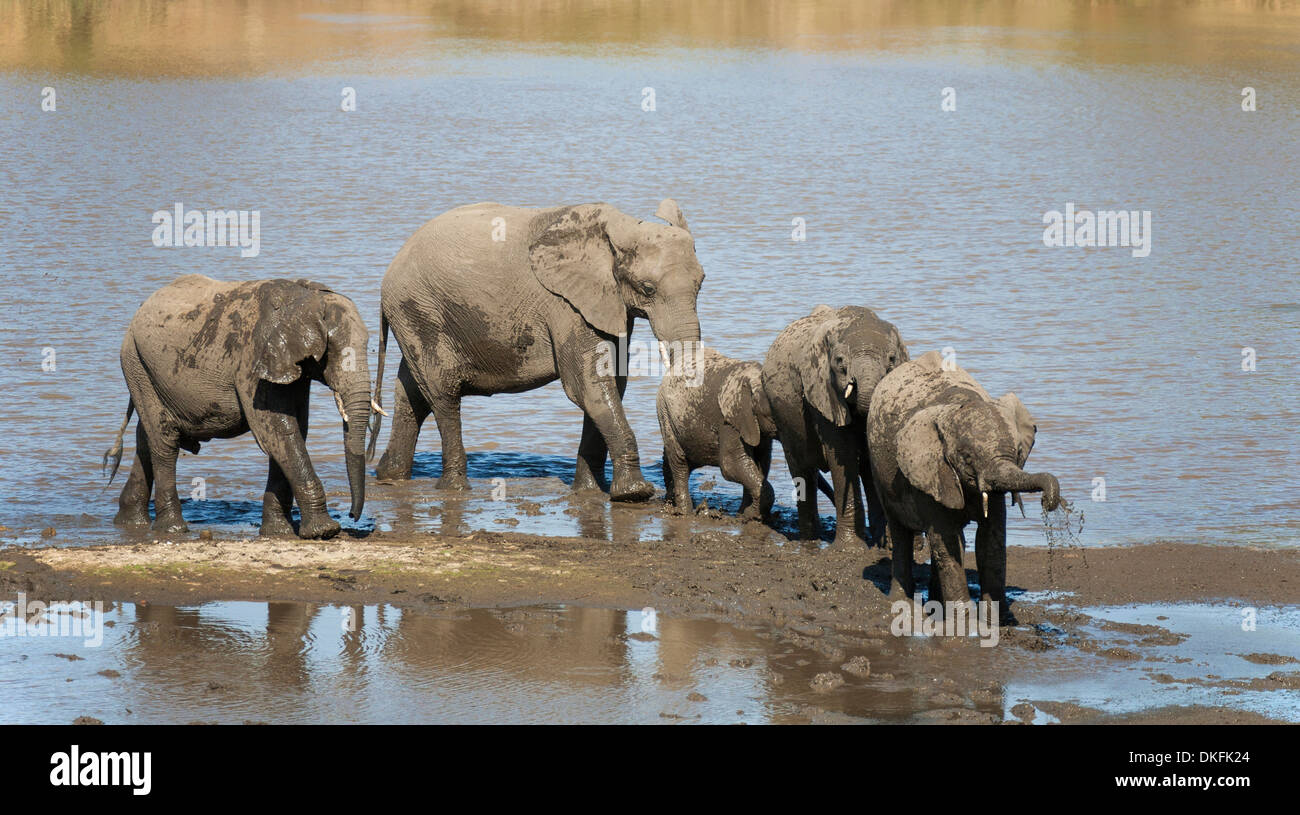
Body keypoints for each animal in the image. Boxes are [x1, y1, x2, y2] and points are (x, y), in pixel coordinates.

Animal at [103, 275, 374, 539]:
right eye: (338, 353)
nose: (352, 515)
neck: (307, 297)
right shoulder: (252, 361)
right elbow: (278, 431)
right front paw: (323, 531)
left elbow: (292, 430)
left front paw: (277, 532)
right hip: (136, 362)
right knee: (164, 441)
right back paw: (173, 528)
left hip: (144, 369)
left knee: (146, 436)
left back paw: (130, 523)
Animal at [369, 199, 704, 502]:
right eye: (648, 289)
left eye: (701, 284)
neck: (622, 226)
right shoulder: (564, 304)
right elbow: (588, 386)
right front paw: (634, 494)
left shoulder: (606, 301)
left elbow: (609, 384)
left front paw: (586, 492)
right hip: (419, 309)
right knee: (442, 392)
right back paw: (454, 488)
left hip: (416, 316)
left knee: (412, 393)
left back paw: (389, 476)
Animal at [657, 348, 778, 520]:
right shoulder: (728, 419)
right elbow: (731, 464)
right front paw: (751, 516)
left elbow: (761, 462)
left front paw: (743, 514)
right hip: (665, 414)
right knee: (680, 463)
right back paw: (685, 513)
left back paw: (670, 503)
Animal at [761, 305, 908, 547]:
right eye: (839, 361)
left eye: (892, 358)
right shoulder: (821, 392)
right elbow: (843, 453)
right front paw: (851, 548)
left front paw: (886, 544)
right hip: (784, 419)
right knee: (803, 471)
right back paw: (811, 540)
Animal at [867, 350, 1064, 616]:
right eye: (967, 458)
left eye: (1016, 451)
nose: (1048, 501)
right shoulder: (928, 471)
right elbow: (946, 539)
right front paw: (964, 620)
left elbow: (991, 538)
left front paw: (997, 619)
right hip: (880, 473)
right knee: (901, 535)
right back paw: (902, 603)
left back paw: (935, 604)